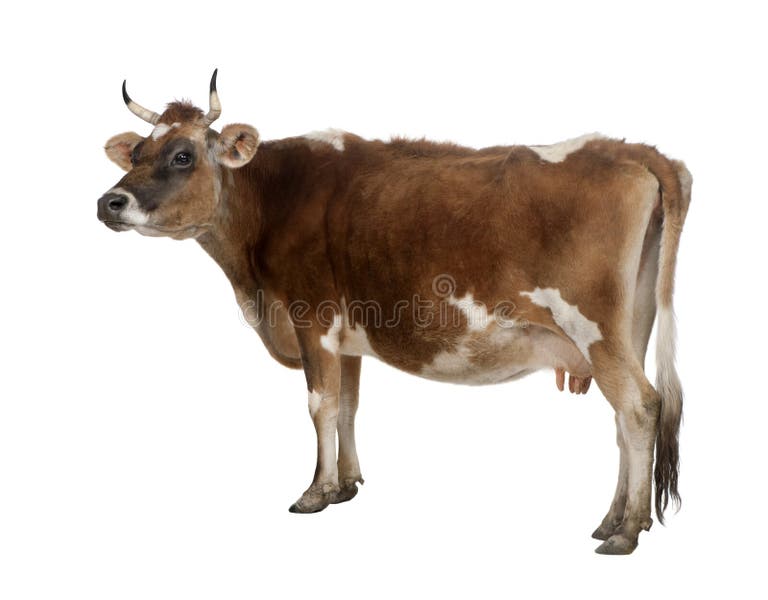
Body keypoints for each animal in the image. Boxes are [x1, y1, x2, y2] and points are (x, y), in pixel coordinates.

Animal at [98, 71, 691, 554]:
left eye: (183, 155)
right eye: (136, 154)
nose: (109, 202)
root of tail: (632, 150)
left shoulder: (311, 318)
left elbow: (319, 405)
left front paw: (315, 491)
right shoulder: (346, 338)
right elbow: (347, 406)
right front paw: (346, 484)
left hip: (595, 328)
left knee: (640, 407)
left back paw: (625, 531)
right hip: (632, 325)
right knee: (624, 418)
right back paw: (614, 517)